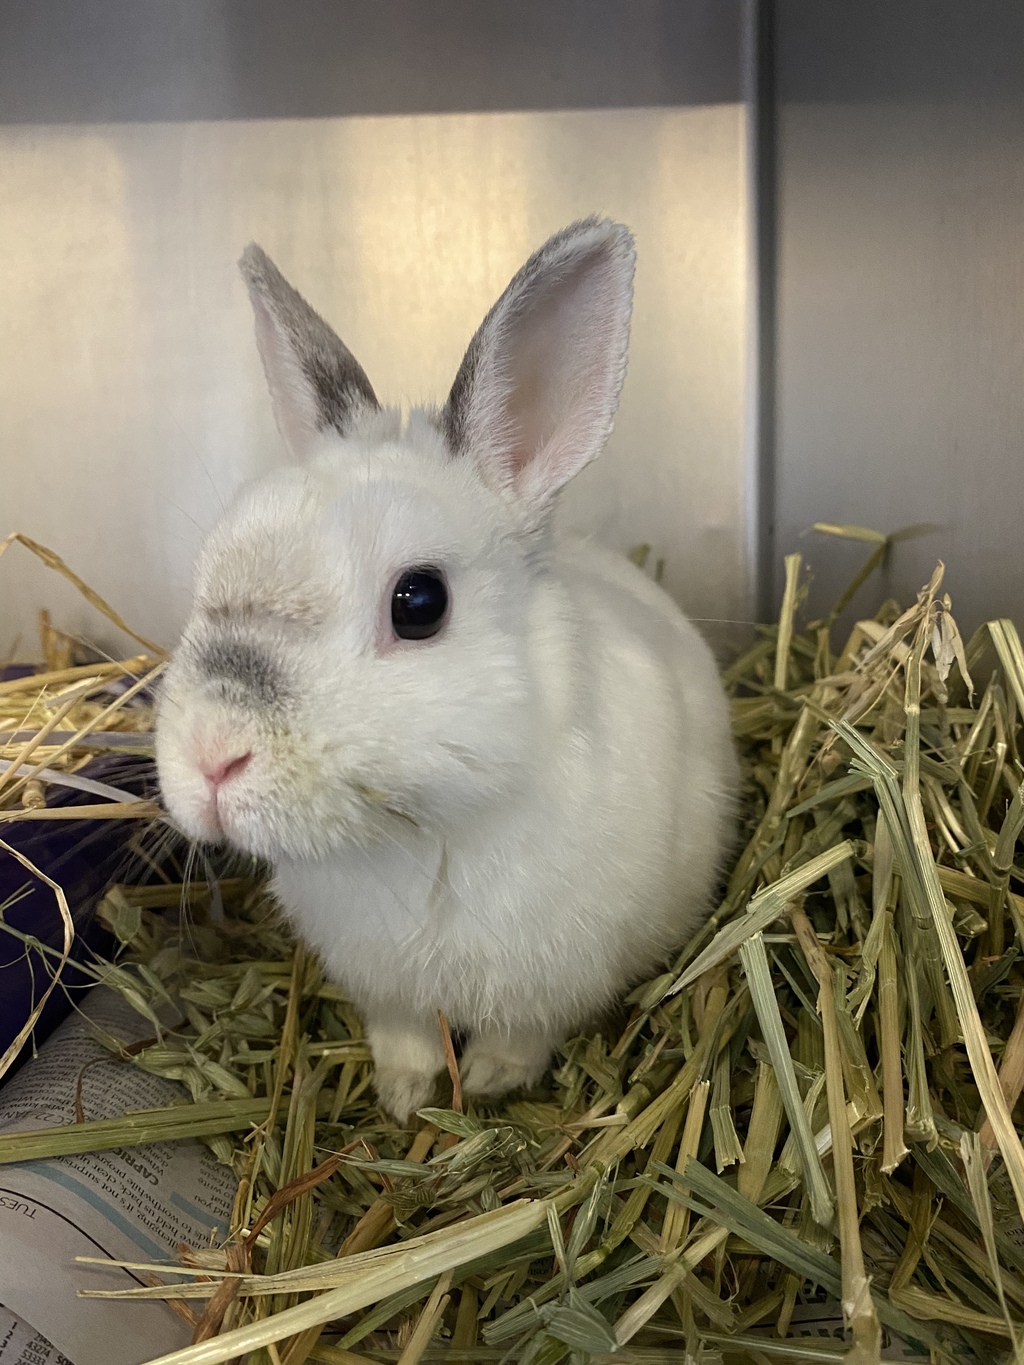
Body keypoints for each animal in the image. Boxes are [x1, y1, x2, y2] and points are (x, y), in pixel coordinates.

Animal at [155, 218, 738, 1123]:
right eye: (208, 564)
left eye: (419, 601)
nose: (212, 758)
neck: (423, 832)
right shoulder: (388, 990)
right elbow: (405, 1037)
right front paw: (403, 1095)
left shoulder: (550, 987)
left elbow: (520, 1037)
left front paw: (493, 1083)